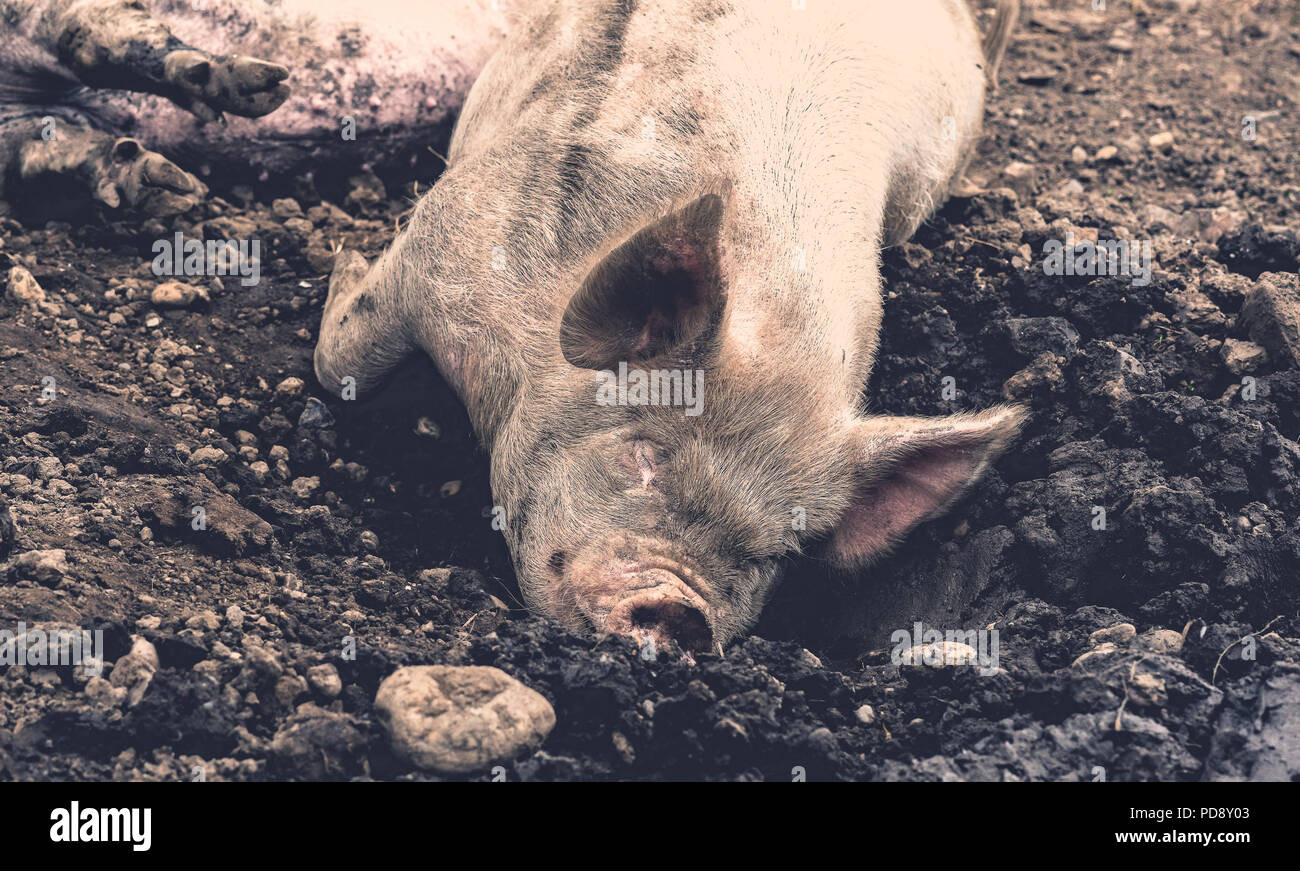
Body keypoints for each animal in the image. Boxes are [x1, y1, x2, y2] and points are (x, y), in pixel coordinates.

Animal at [314, 0, 1026, 656]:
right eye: (644, 454)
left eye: (776, 551)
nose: (682, 610)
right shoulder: (441, 239)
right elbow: (343, 358)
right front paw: (345, 258)